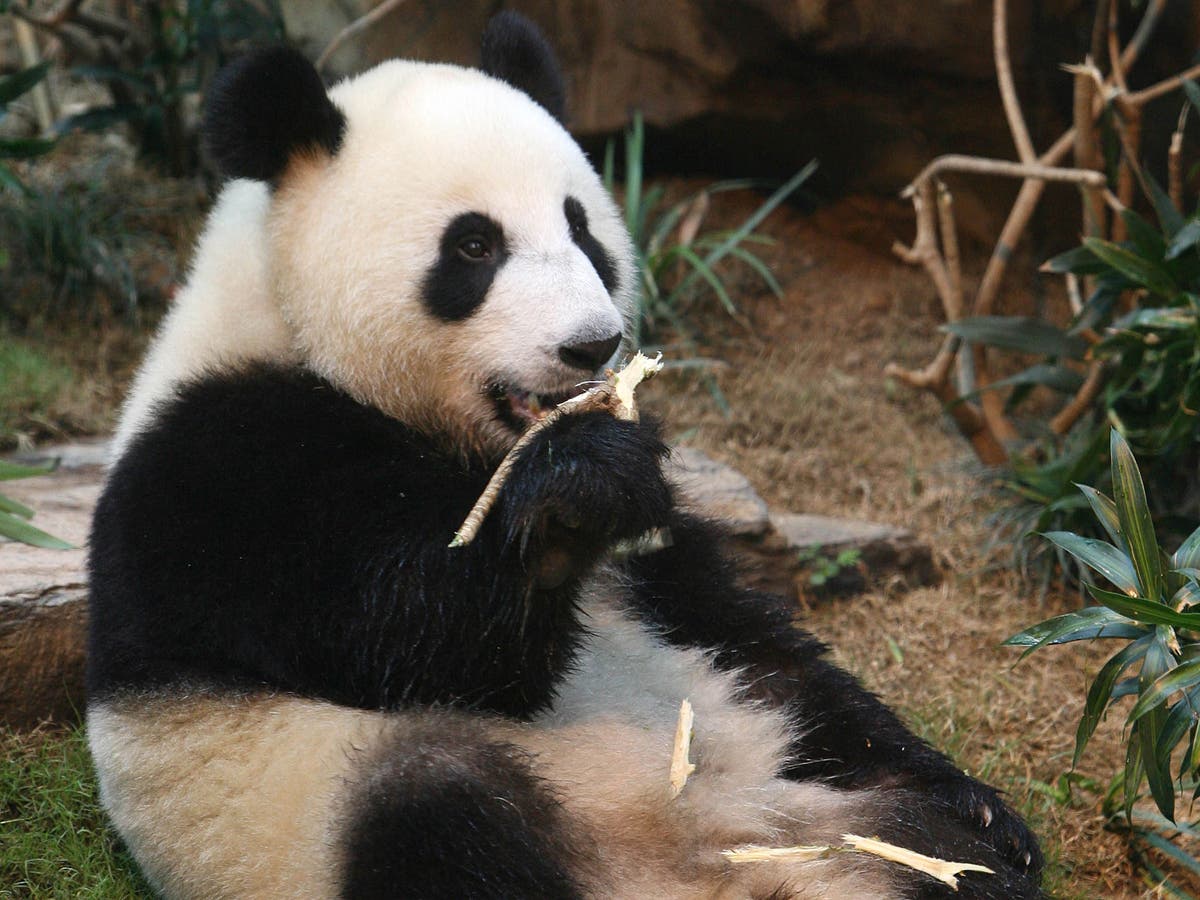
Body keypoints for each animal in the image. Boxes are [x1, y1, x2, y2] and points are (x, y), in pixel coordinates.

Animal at [87, 13, 1044, 900]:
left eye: (583, 229)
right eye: (474, 246)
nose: (593, 344)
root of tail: (711, 870)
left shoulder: (670, 568)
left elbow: (749, 636)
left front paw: (979, 801)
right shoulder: (226, 471)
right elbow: (431, 641)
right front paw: (576, 494)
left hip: (814, 813)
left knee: (919, 835)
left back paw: (965, 841)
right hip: (318, 804)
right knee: (438, 806)